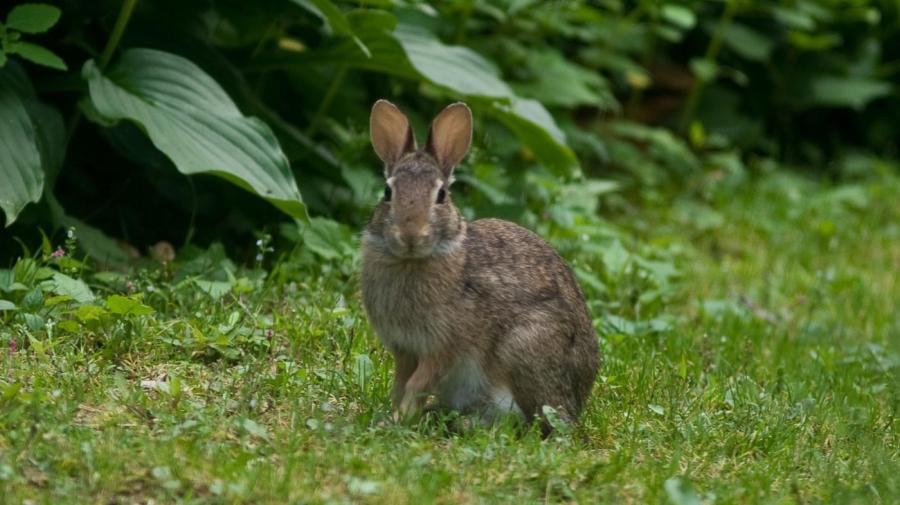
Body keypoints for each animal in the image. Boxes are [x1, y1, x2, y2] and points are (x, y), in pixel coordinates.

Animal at [361, 100, 599, 433]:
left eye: (441, 195)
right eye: (387, 192)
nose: (410, 235)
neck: (413, 260)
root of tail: (577, 403)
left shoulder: (443, 347)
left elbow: (418, 383)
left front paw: (398, 420)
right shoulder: (404, 350)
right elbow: (402, 384)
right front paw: (394, 416)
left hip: (523, 351)